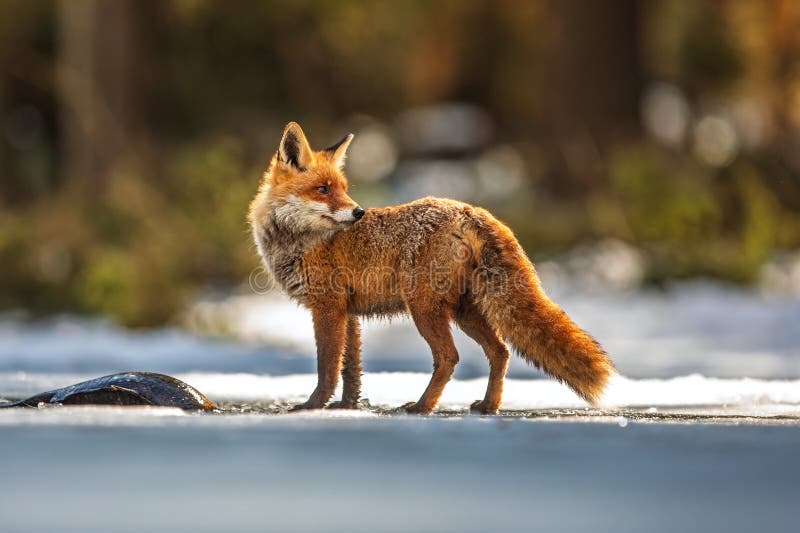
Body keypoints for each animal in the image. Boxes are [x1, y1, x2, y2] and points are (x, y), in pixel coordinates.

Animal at [248, 122, 615, 414]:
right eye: (323, 189)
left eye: (343, 189)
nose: (358, 212)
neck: (300, 241)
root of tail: (471, 210)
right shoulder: (347, 313)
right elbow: (351, 370)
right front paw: (347, 407)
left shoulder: (328, 308)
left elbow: (327, 367)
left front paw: (312, 406)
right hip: (465, 311)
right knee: (500, 352)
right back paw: (488, 406)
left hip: (424, 308)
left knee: (449, 357)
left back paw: (422, 407)